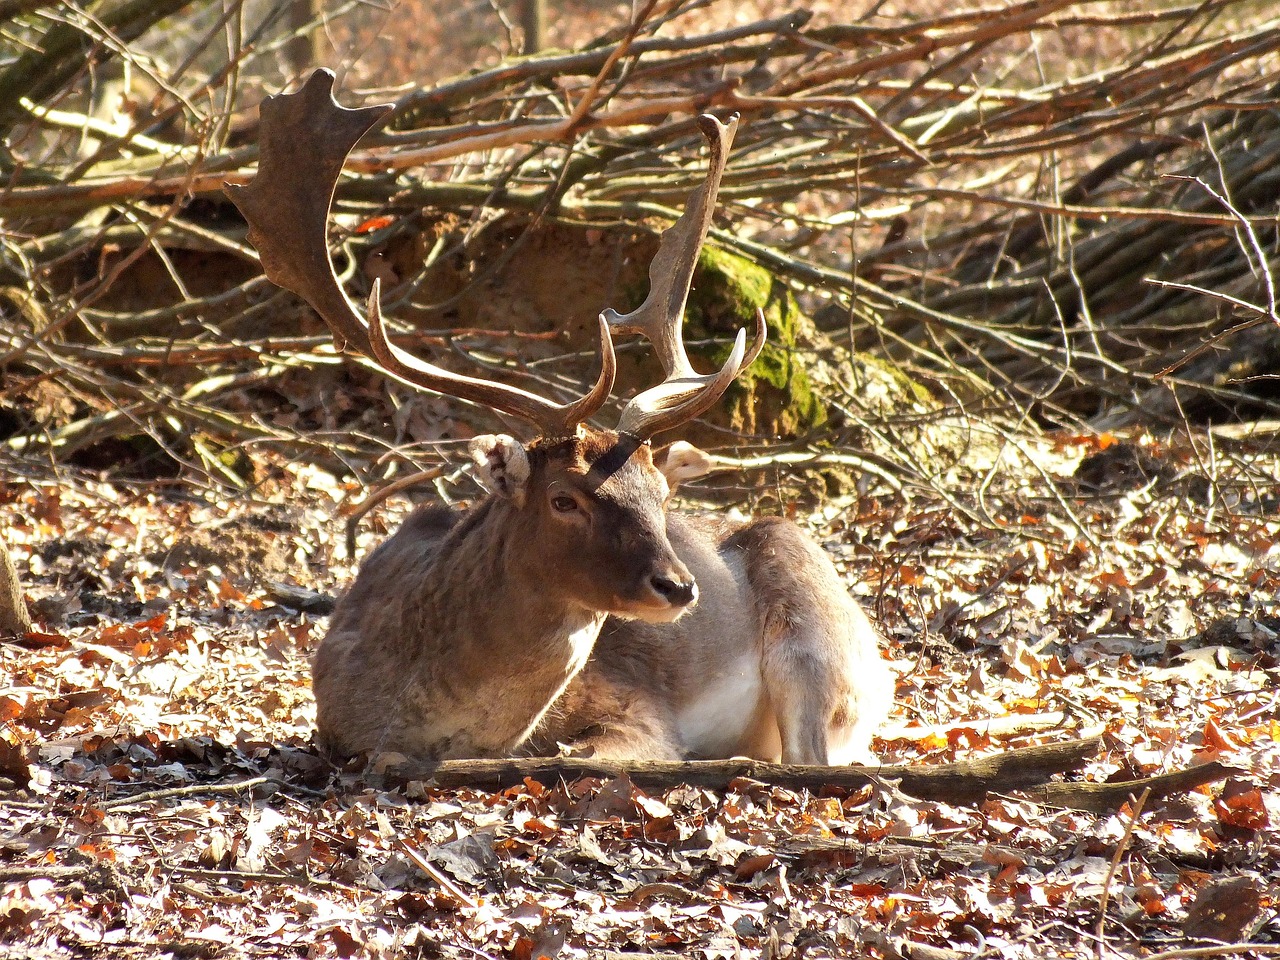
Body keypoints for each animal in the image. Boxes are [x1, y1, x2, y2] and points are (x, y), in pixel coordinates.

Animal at [227, 70, 892, 765]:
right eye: (564, 498)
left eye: (661, 494)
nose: (680, 586)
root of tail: (884, 665)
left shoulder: (641, 713)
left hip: (815, 636)